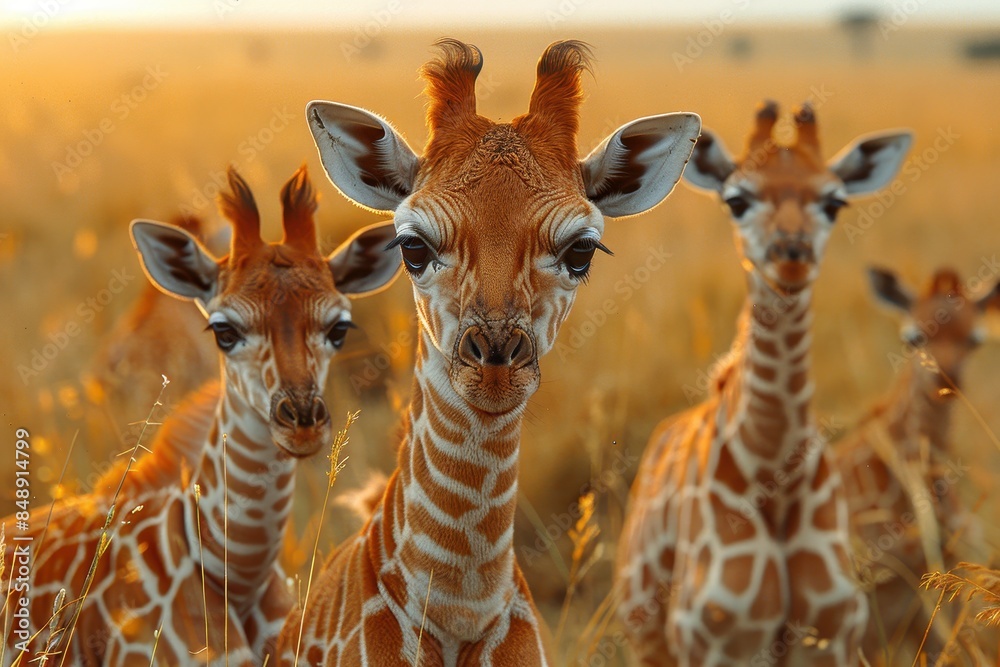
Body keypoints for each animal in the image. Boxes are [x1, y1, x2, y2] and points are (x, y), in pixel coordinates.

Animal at [615, 101, 913, 666]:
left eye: (834, 201)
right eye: (737, 199)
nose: (791, 254)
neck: (773, 466)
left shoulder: (831, 639)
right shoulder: (718, 642)